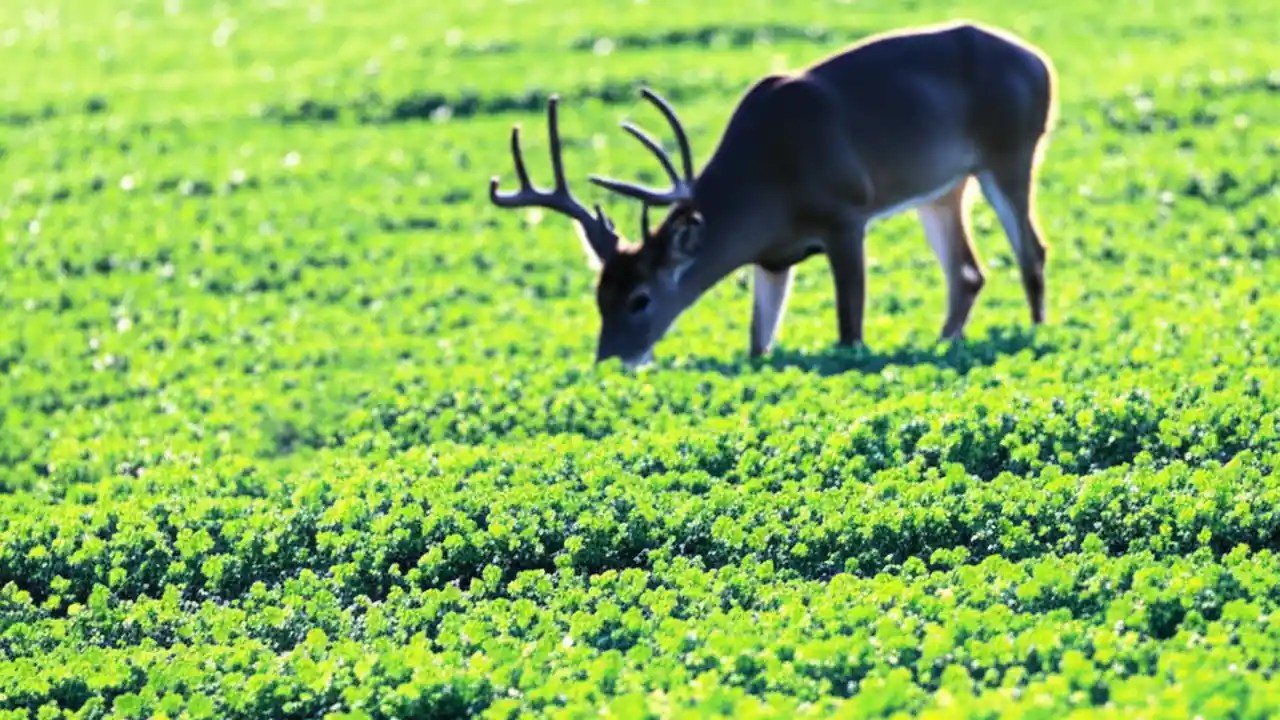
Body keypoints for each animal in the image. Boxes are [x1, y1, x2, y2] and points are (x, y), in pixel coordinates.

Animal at [489, 21, 1057, 368]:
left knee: (1031, 252)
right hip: (943, 189)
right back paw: (944, 344)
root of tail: (1040, 61)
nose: (609, 360)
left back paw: (1036, 335)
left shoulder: (845, 214)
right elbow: (757, 344)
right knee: (967, 272)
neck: (771, 180)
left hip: (1012, 150)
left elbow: (850, 330)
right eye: (598, 297)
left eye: (640, 299)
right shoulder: (772, 258)